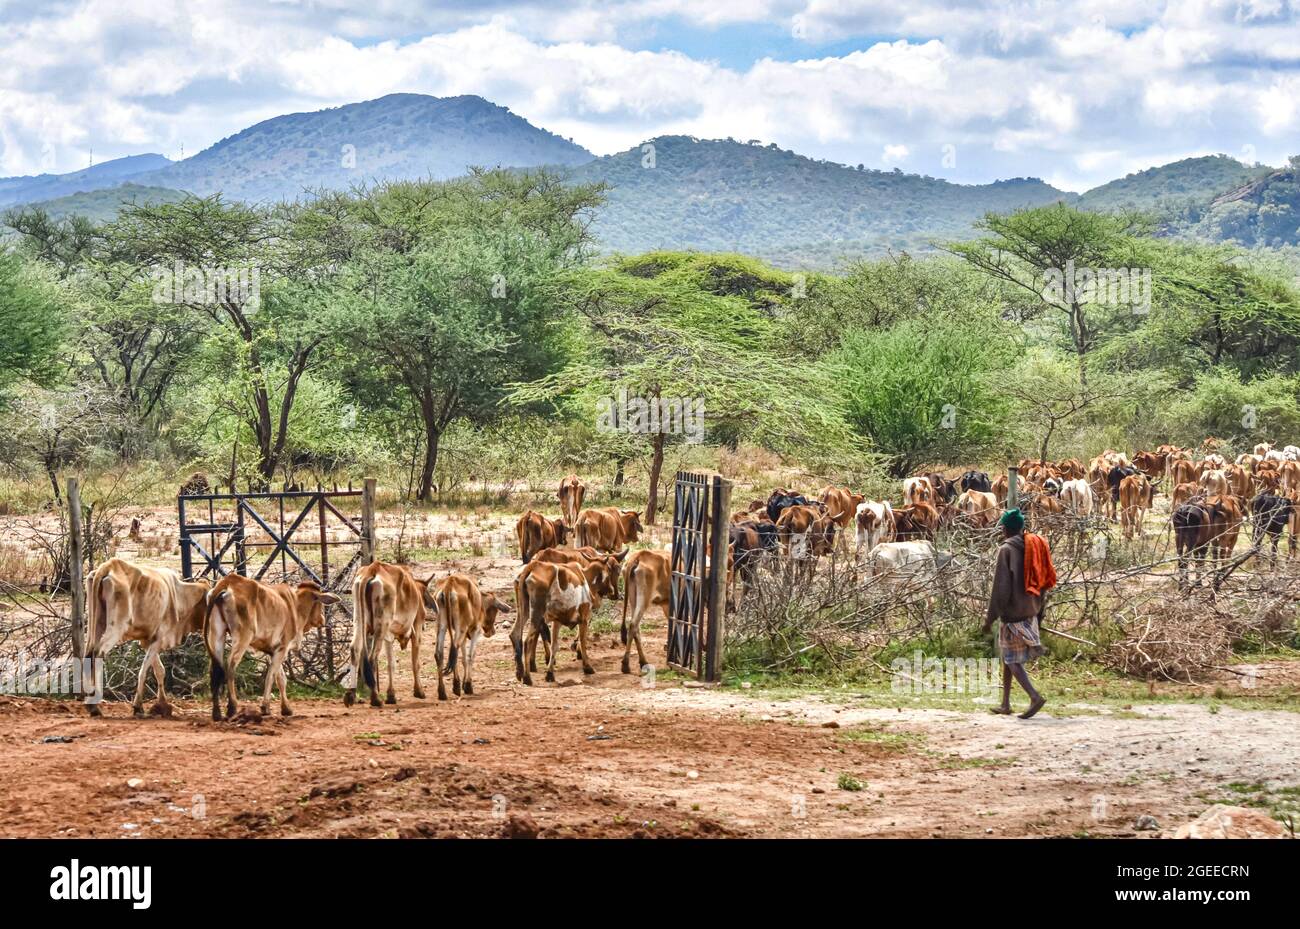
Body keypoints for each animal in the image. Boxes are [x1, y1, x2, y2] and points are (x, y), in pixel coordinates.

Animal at [83, 559, 210, 718]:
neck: (178, 594)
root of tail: (108, 566)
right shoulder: (159, 638)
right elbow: (144, 671)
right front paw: (138, 706)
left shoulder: (148, 640)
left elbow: (159, 671)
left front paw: (162, 705)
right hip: (116, 628)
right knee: (98, 654)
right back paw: (94, 706)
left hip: (95, 626)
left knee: (88, 655)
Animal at [204, 576, 340, 721]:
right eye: (320, 602)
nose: (322, 619)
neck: (295, 605)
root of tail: (228, 581)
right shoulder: (282, 647)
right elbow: (271, 676)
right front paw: (266, 707)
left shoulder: (273, 650)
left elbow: (281, 678)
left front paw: (286, 708)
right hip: (243, 637)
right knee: (230, 665)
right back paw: (232, 707)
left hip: (217, 635)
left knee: (214, 669)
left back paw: (217, 713)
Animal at [345, 561, 427, 708]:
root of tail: (372, 569)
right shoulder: (417, 628)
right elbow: (415, 663)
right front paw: (419, 691)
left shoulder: (388, 636)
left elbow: (391, 665)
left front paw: (391, 695)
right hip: (381, 626)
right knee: (372, 658)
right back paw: (375, 698)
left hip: (359, 621)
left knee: (355, 649)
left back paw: (351, 694)